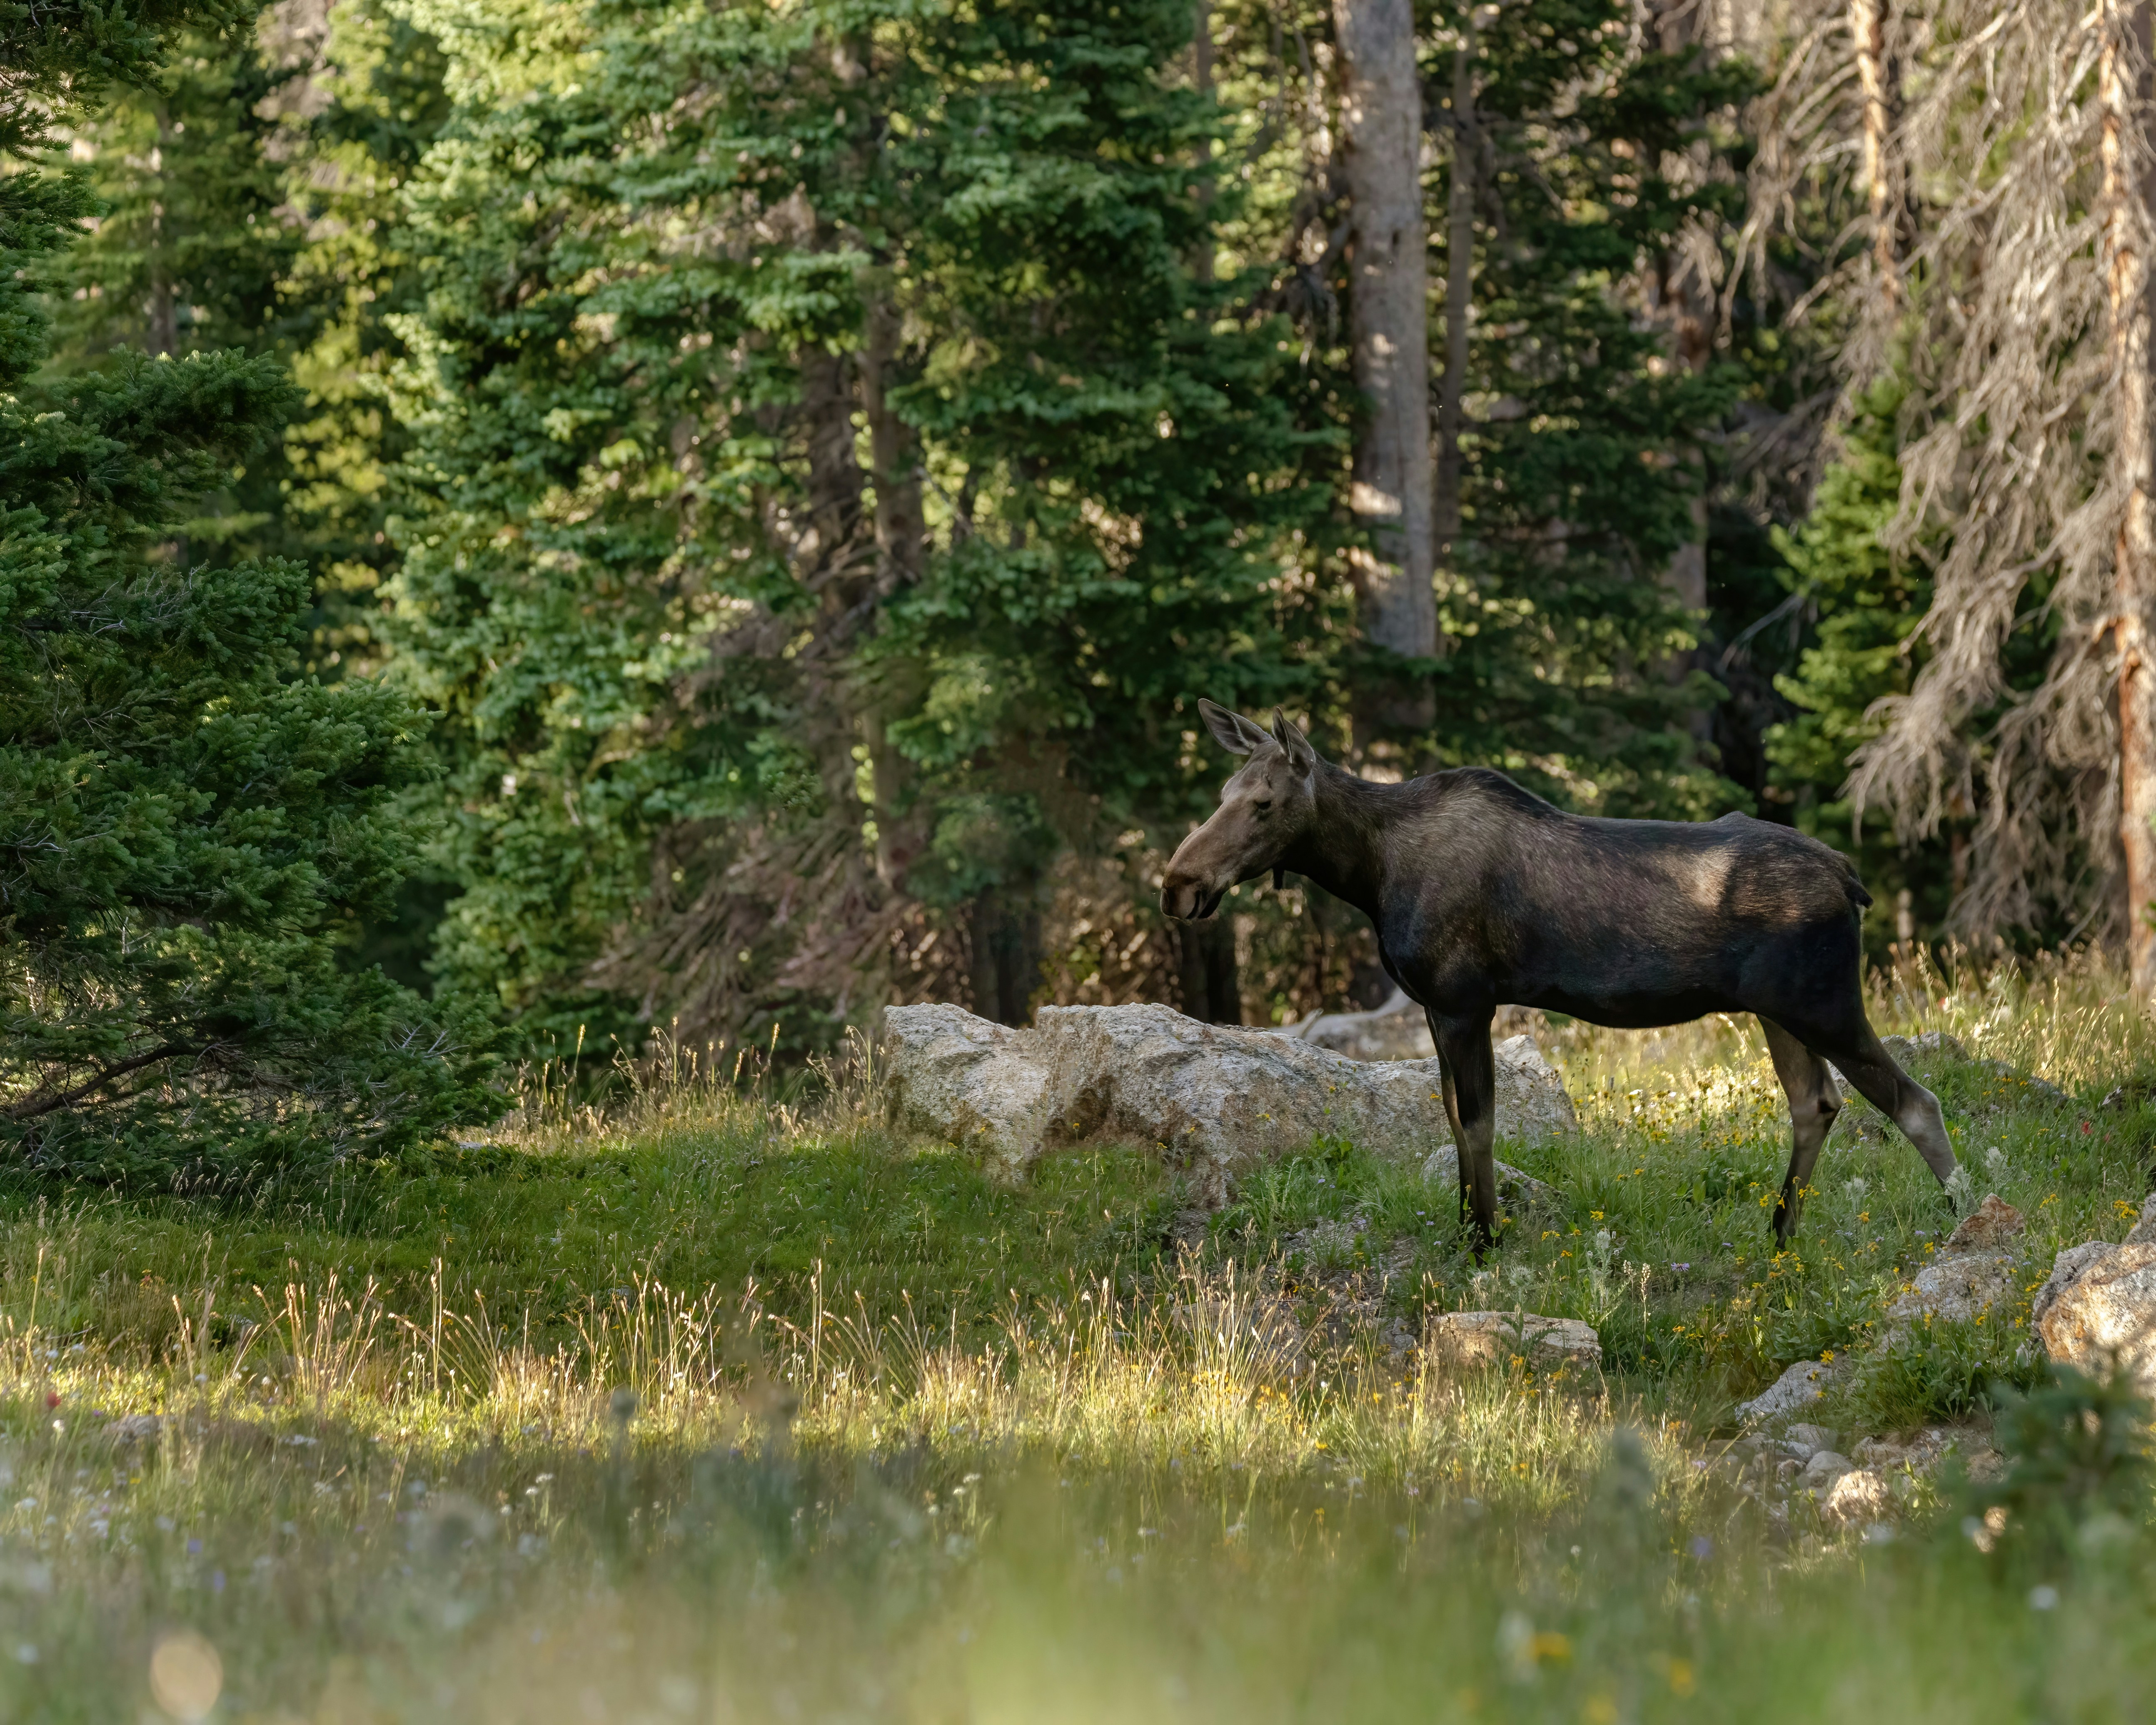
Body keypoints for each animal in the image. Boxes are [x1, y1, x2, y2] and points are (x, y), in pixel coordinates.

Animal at [1158, 700, 1958, 1251]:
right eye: (1223, 792)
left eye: (1264, 803)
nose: (1177, 885)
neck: (1368, 873)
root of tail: (1850, 878)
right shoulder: (1433, 1007)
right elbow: (1452, 1120)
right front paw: (1467, 1228)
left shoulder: (1463, 1000)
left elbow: (1478, 1124)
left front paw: (1484, 1241)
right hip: (1778, 1010)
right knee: (1816, 1104)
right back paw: (1781, 1235)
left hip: (1824, 1002)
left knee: (1916, 1102)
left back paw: (1965, 1222)